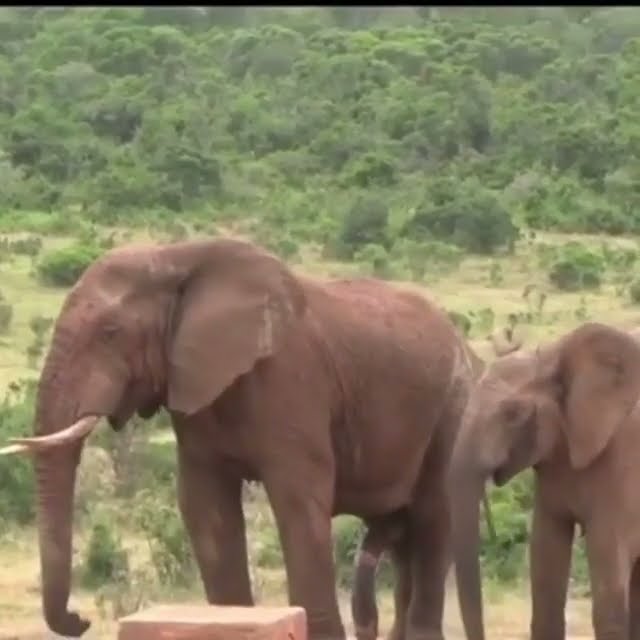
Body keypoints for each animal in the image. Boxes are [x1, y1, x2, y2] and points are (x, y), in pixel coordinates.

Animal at [1, 237, 479, 640]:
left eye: (110, 333)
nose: (80, 620)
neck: (173, 255)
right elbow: (205, 510)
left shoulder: (292, 380)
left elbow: (298, 504)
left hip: (454, 407)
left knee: (434, 517)